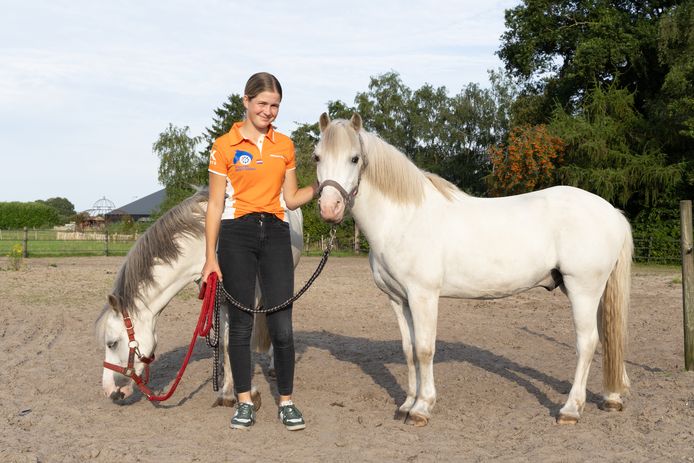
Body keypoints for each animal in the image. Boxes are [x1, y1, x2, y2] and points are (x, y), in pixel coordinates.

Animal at [95, 190, 303, 407]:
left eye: (111, 343)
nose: (110, 392)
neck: (207, 246)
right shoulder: (219, 299)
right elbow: (225, 343)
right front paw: (228, 390)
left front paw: (242, 393)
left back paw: (273, 366)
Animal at [314, 113, 632, 426]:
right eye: (317, 156)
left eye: (354, 158)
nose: (330, 208)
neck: (403, 218)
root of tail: (612, 213)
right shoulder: (398, 299)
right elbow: (408, 350)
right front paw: (406, 404)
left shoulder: (423, 296)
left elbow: (424, 349)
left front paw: (422, 407)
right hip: (590, 291)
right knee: (608, 337)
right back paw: (612, 398)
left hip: (583, 289)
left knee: (587, 342)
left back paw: (571, 409)